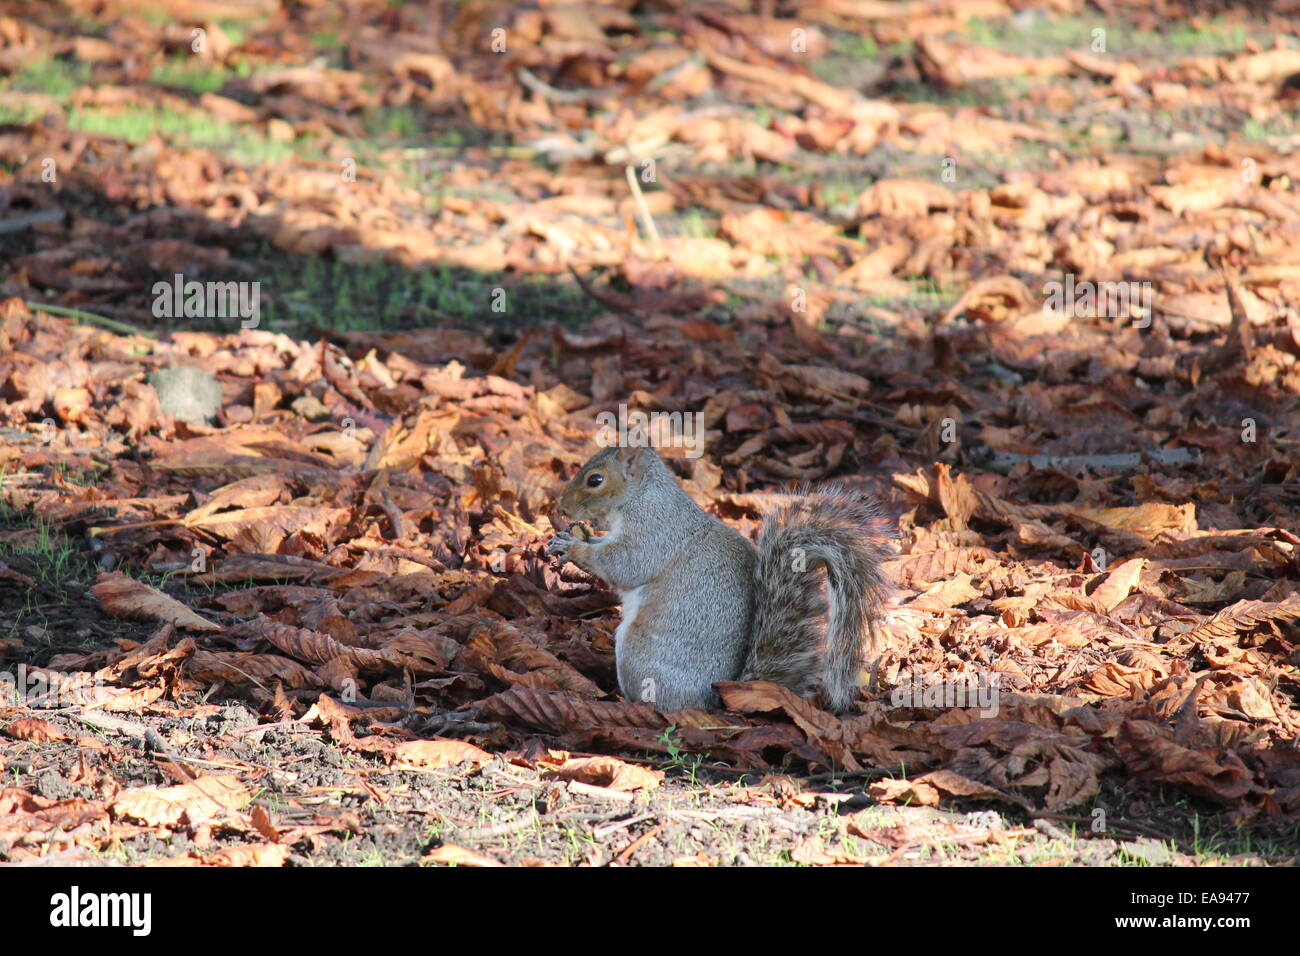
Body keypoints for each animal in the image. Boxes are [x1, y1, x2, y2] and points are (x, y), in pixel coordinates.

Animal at [546, 444, 893, 713]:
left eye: (595, 479)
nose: (561, 508)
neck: (641, 495)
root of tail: (715, 695)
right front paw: (575, 536)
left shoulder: (654, 532)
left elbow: (625, 564)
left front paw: (574, 548)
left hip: (639, 654)